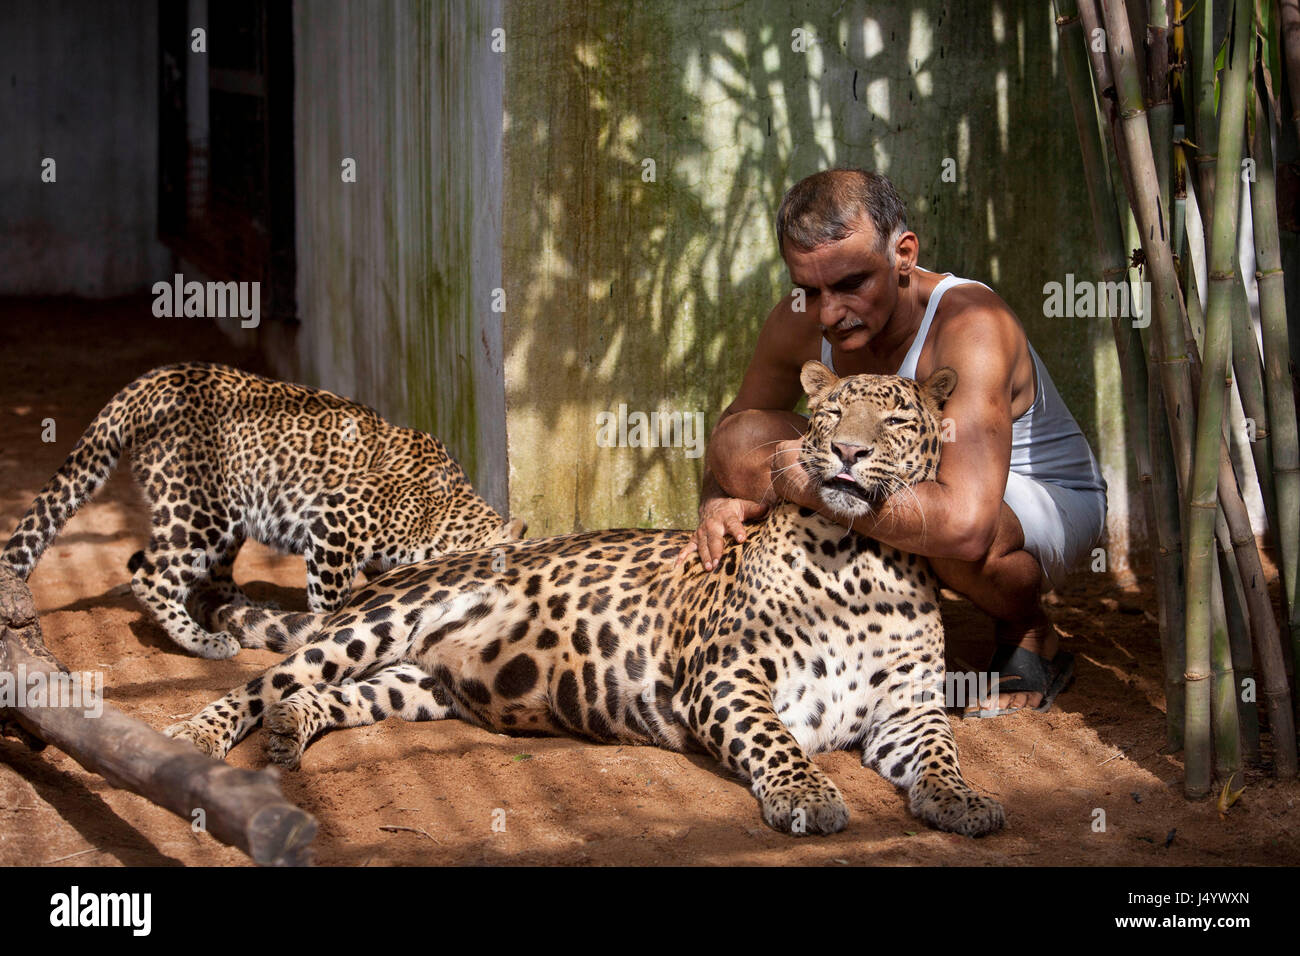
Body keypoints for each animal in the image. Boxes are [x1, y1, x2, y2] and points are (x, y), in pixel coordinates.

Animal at [6, 361, 522, 660]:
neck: (443, 512)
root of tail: (151, 381)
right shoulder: (336, 522)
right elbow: (332, 602)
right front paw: (324, 630)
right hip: (200, 509)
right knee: (151, 576)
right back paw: (206, 642)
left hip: (223, 513)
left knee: (208, 574)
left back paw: (246, 607)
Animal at [167, 361, 1003, 837]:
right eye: (832, 415)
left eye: (894, 419)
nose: (849, 452)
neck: (861, 565)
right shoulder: (726, 676)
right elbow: (777, 740)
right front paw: (807, 793)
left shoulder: (909, 706)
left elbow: (940, 749)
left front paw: (962, 800)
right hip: (377, 621)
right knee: (264, 680)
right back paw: (193, 738)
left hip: (415, 685)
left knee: (331, 695)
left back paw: (289, 730)